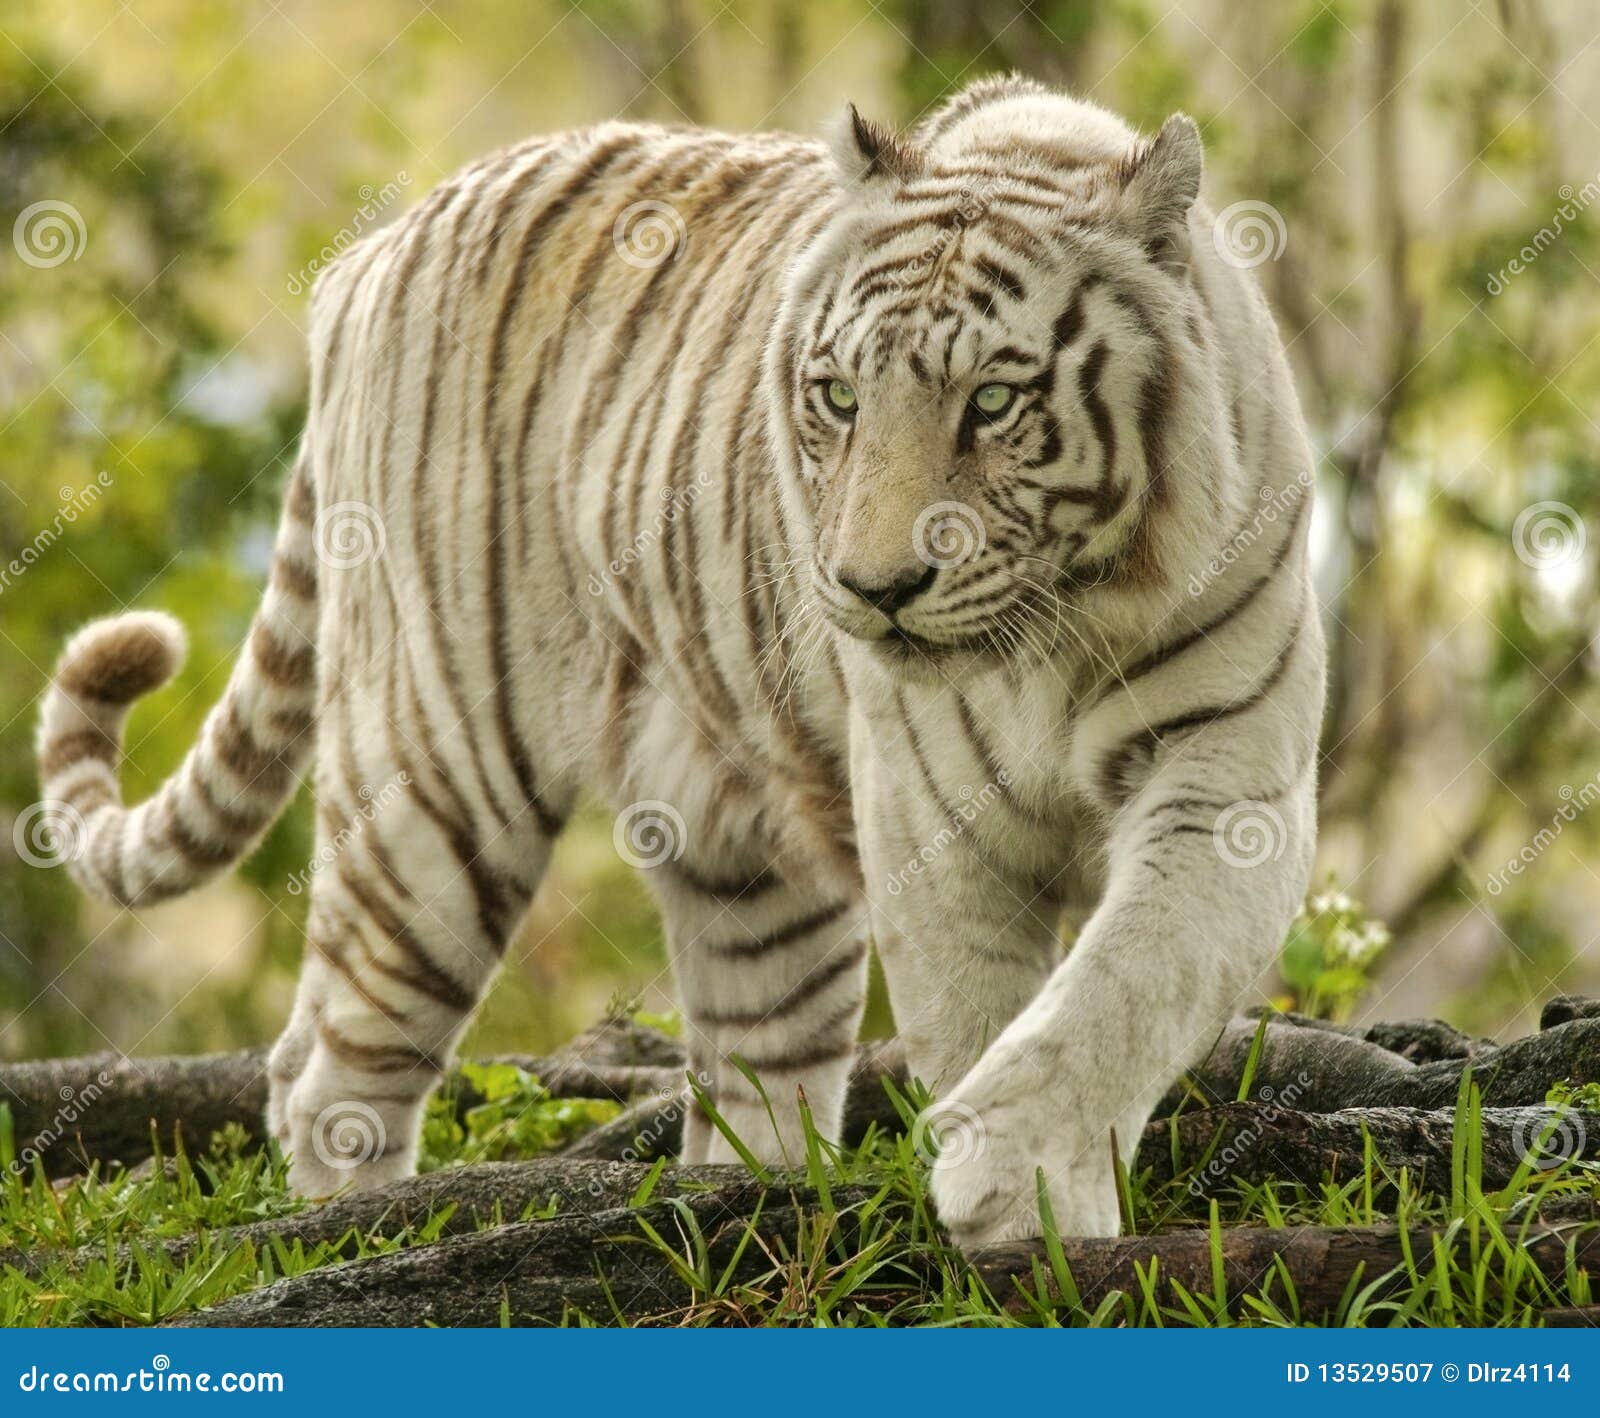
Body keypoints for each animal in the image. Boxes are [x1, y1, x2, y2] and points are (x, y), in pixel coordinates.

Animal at [36, 74, 1323, 1247]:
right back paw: (352, 1233)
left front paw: (1016, 1179)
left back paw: (743, 1198)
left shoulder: (1226, 777)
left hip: (746, 871)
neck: (1064, 622)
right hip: (441, 780)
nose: (873, 588)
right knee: (329, 1068)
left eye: (995, 401)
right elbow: (983, 1007)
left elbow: (1131, 974)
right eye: (838, 396)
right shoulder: (935, 813)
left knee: (745, 1068)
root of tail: (375, 253)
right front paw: (1017, 1214)